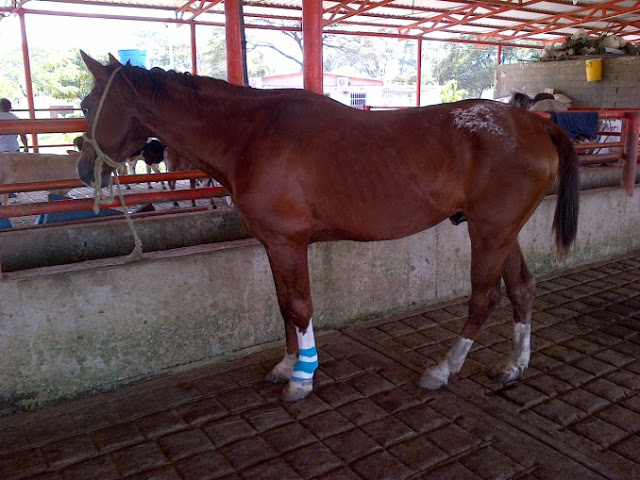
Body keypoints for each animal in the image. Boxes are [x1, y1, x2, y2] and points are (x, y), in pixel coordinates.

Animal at [77, 52, 579, 402]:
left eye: (85, 105)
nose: (83, 170)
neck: (252, 134)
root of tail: (532, 123)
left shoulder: (288, 242)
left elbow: (299, 305)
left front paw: (301, 378)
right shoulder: (273, 245)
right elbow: (284, 305)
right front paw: (287, 364)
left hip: (489, 232)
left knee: (484, 296)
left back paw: (442, 369)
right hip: (503, 232)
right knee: (522, 287)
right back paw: (513, 366)